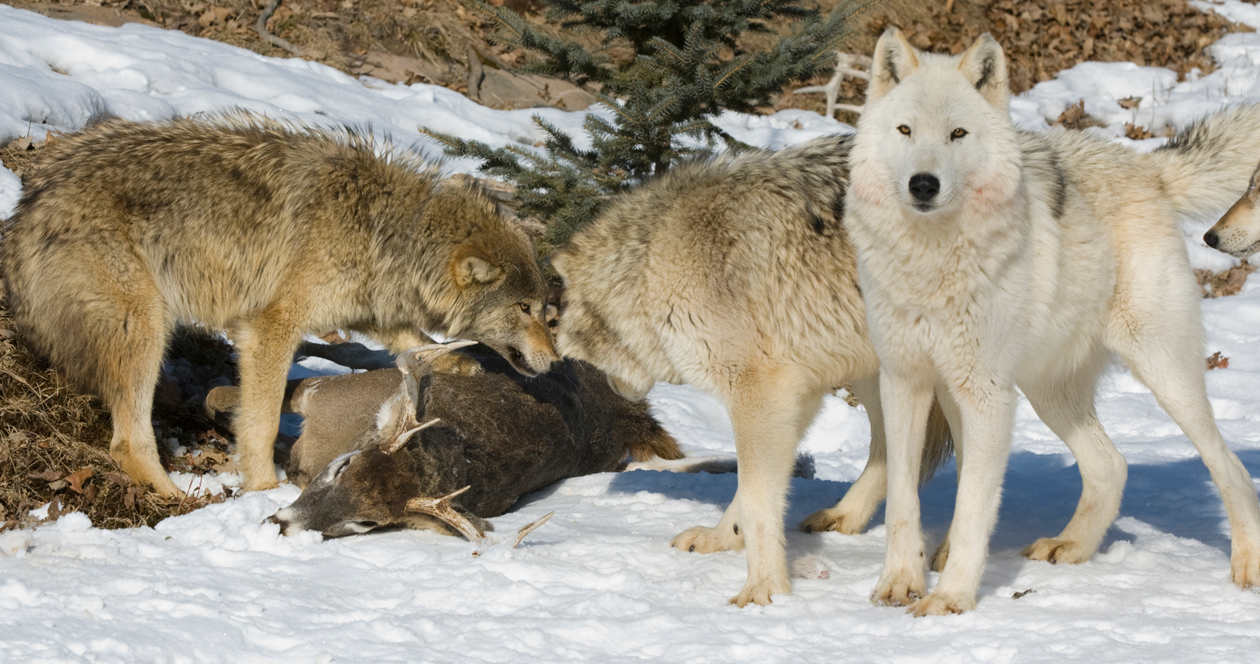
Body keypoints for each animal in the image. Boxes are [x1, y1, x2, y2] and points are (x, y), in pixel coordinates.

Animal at [3, 114, 558, 499]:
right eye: (526, 308)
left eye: (544, 307)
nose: (555, 362)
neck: (392, 236)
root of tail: (28, 204)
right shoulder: (270, 327)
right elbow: (263, 420)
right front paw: (264, 489)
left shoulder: (368, 309)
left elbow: (414, 341)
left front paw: (457, 362)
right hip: (145, 324)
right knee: (126, 443)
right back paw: (178, 499)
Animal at [550, 137, 953, 607]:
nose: (619, 391)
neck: (653, 263)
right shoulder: (796, 393)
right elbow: (747, 493)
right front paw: (721, 539)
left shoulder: (760, 392)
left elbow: (759, 500)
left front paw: (764, 588)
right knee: (895, 450)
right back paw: (846, 518)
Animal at [846, 28, 1260, 616]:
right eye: (905, 130)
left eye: (957, 134)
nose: (923, 184)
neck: (930, 261)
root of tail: (1145, 166)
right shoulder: (905, 383)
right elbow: (903, 497)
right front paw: (899, 584)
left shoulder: (985, 394)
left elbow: (972, 508)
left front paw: (950, 599)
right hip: (1046, 392)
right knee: (1112, 465)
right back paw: (1072, 546)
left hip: (1164, 374)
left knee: (1230, 467)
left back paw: (1245, 564)